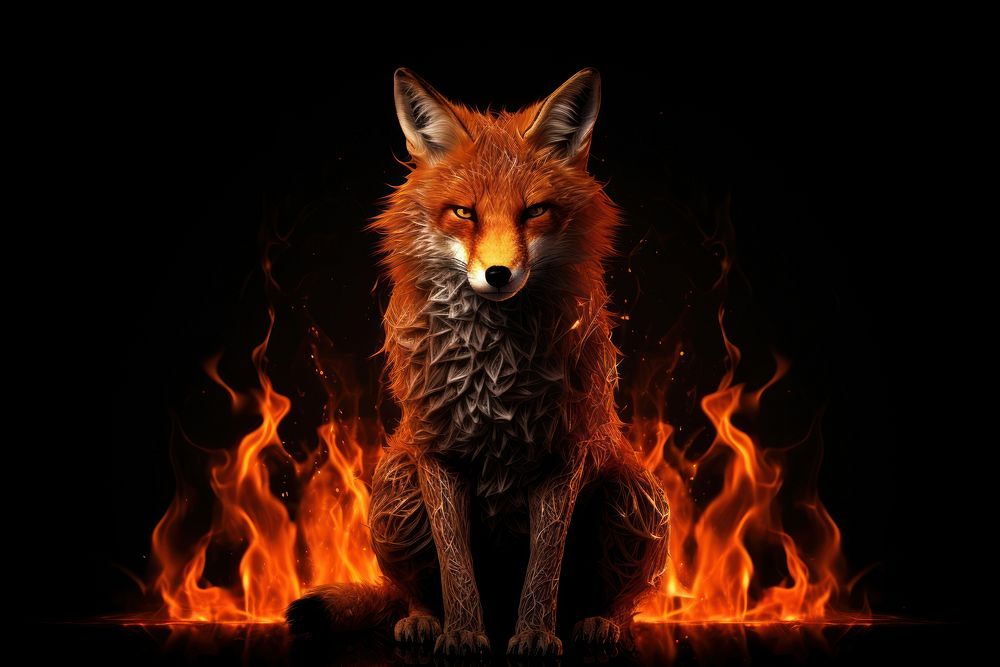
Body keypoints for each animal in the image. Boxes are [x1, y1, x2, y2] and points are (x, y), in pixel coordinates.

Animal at [286, 68, 670, 659]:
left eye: (535, 211)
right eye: (464, 212)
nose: (498, 274)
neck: (495, 373)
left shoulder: (564, 453)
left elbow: (543, 569)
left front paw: (534, 633)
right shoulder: (437, 453)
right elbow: (455, 569)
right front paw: (463, 632)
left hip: (633, 494)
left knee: (611, 600)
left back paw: (599, 623)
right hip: (396, 486)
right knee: (411, 592)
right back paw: (422, 621)